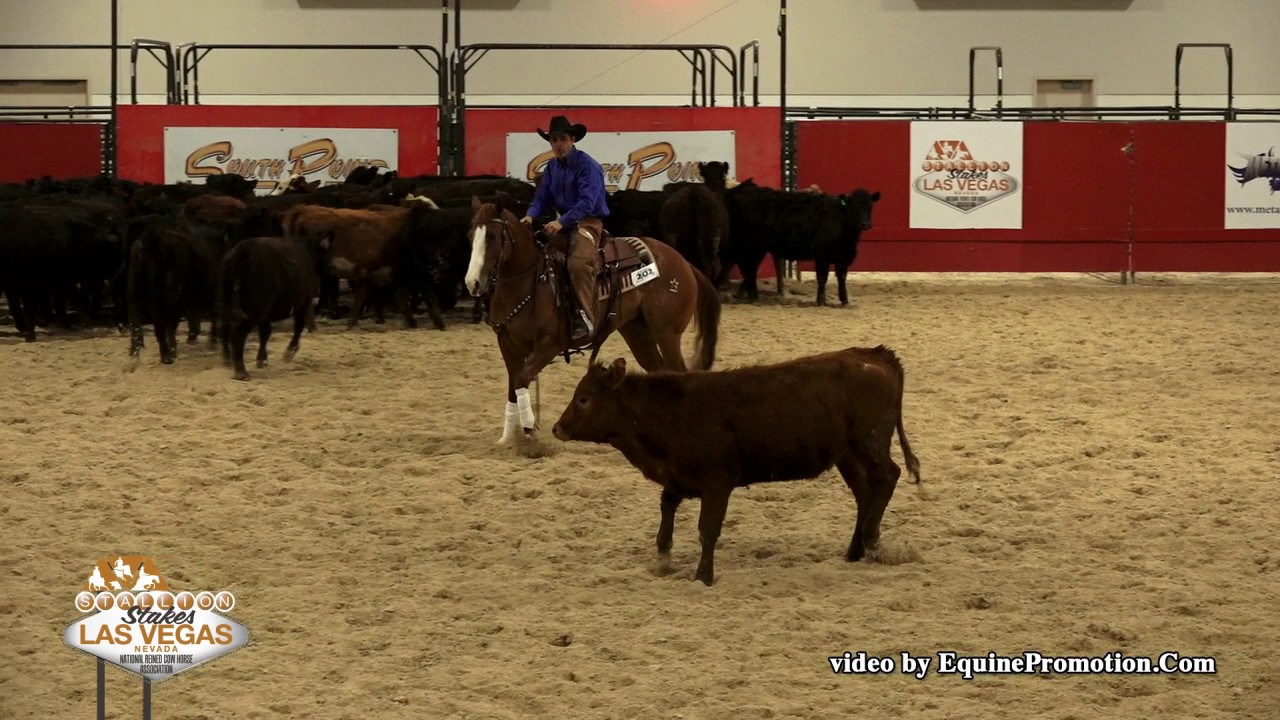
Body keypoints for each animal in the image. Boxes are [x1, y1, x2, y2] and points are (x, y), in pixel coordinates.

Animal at [465, 199, 721, 445]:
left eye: (492, 236)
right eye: (471, 235)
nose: (472, 283)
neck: (529, 282)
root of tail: (684, 262)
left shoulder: (549, 344)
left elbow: (521, 380)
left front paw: (530, 435)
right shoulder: (507, 344)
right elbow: (513, 387)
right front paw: (508, 439)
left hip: (667, 334)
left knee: (678, 371)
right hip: (637, 332)